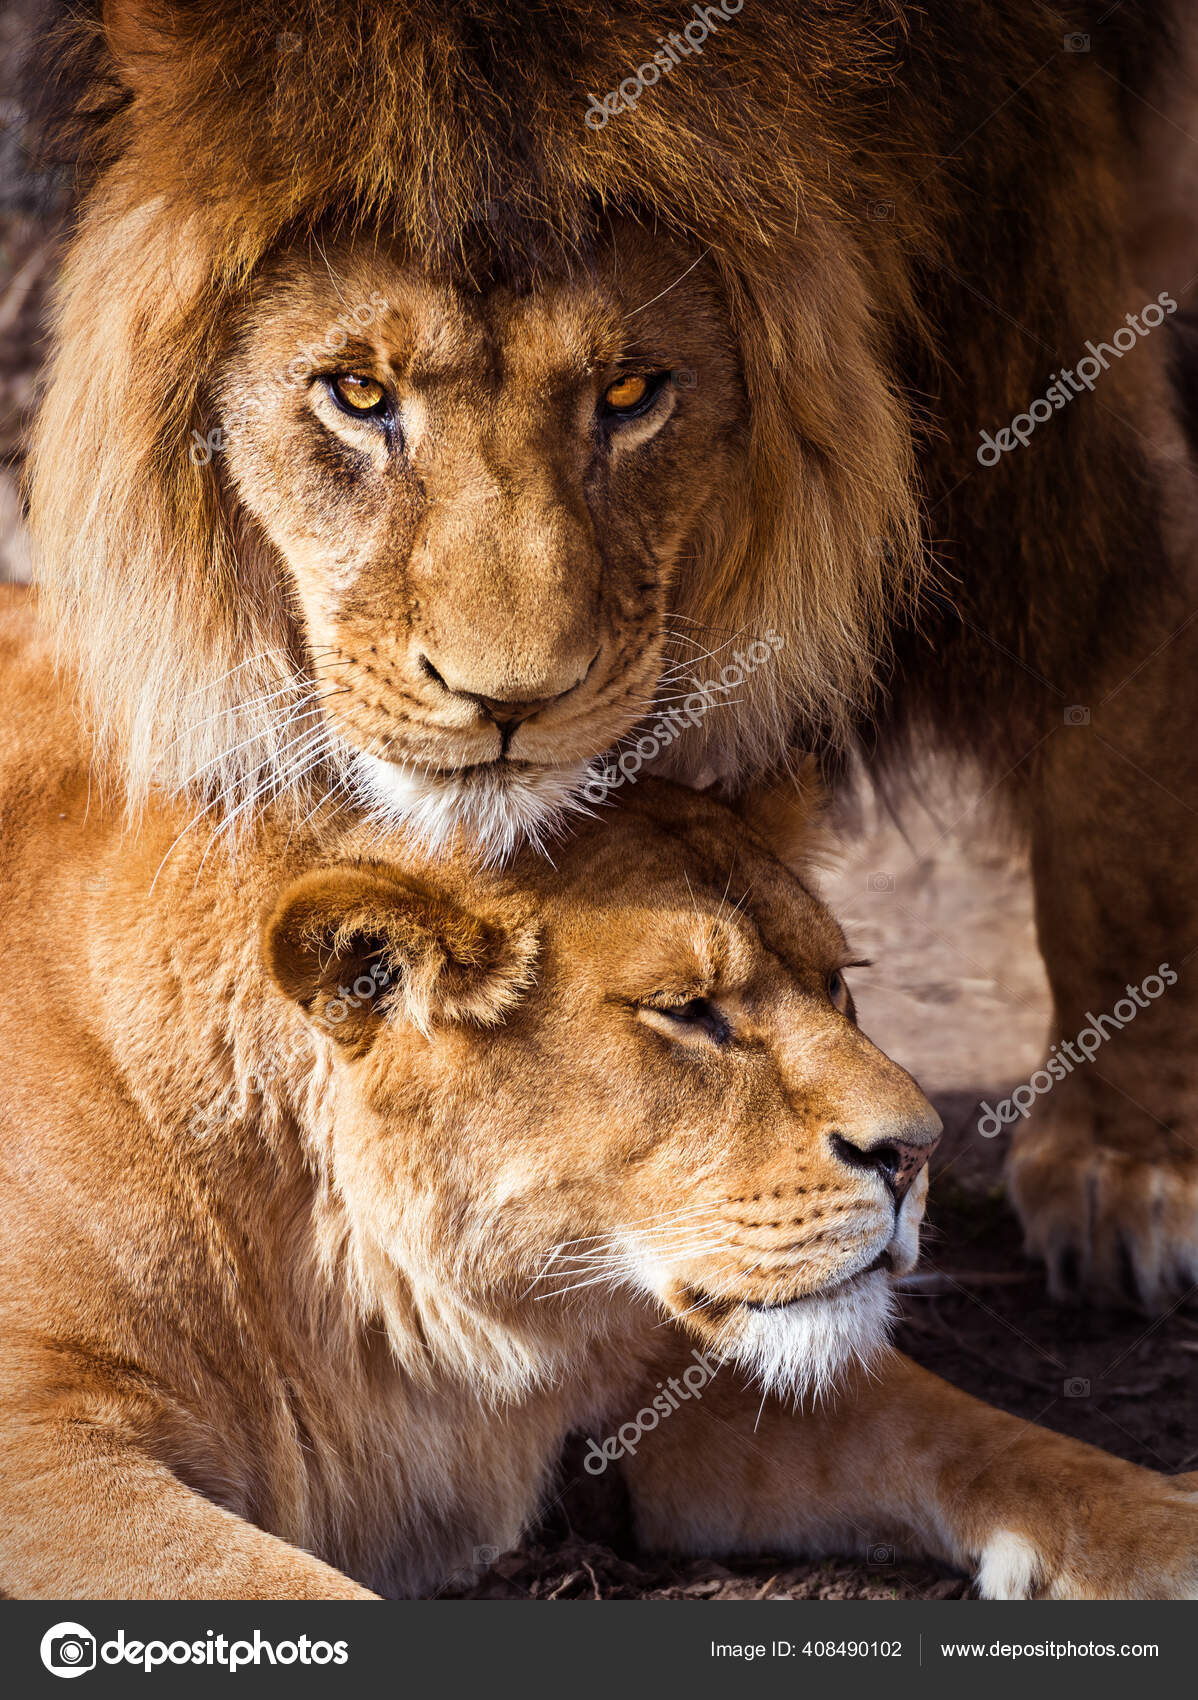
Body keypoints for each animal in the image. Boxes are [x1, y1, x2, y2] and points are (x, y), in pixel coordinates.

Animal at [0, 590, 1196, 1601]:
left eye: (835, 983)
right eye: (688, 1010)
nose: (919, 1149)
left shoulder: (673, 1371)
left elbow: (991, 1438)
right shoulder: (46, 1447)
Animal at [24, 0, 1198, 1308]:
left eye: (631, 392)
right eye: (356, 392)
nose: (509, 701)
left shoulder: (1052, 328)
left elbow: (1124, 749)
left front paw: (1128, 1161)